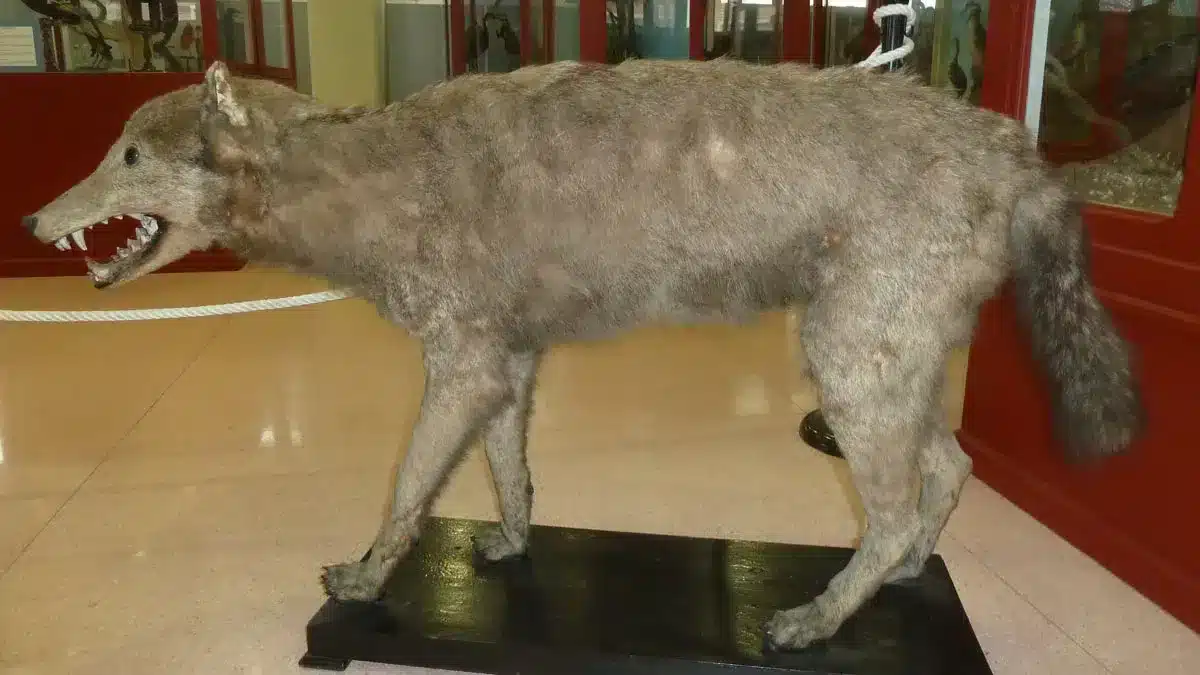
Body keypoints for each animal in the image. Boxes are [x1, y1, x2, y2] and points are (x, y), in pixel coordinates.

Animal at [21, 59, 1144, 651]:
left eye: (130, 152)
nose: (33, 219)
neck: (365, 176)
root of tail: (1019, 153)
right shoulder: (508, 364)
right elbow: (511, 473)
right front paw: (513, 549)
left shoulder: (460, 365)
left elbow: (404, 490)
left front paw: (364, 583)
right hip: (891, 368)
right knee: (949, 473)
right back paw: (907, 578)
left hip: (853, 368)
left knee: (902, 503)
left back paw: (813, 621)